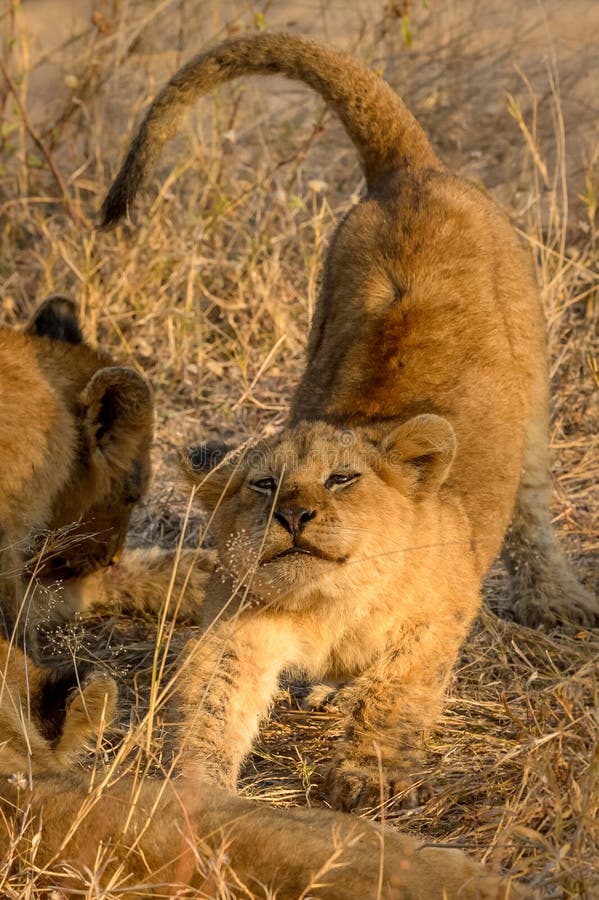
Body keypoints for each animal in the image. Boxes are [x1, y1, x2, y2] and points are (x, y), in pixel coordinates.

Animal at [98, 32, 596, 812]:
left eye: (341, 480)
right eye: (263, 486)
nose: (294, 517)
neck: (329, 603)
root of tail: (412, 173)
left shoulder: (438, 617)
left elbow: (396, 694)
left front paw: (364, 778)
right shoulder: (236, 630)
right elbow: (209, 704)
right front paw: (194, 793)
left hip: (537, 382)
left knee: (532, 508)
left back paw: (557, 599)